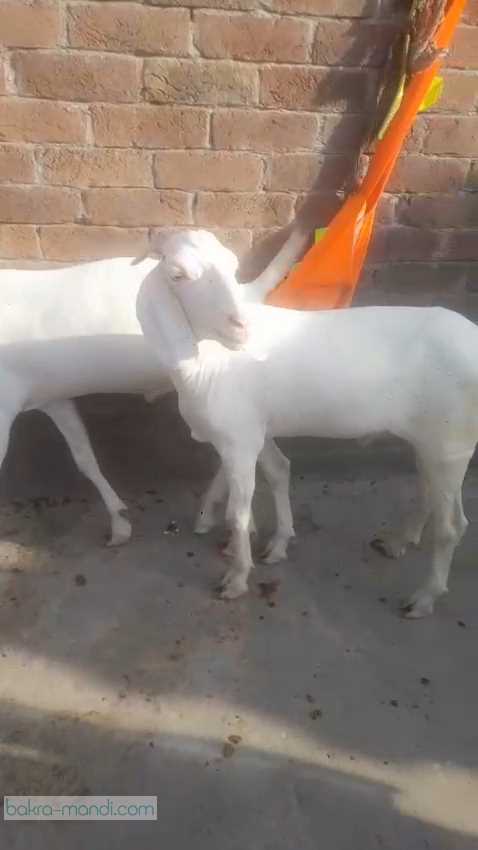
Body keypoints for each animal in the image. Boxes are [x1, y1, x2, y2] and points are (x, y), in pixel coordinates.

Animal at [0, 227, 307, 545]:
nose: (241, 325)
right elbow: (84, 457)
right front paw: (119, 521)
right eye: (177, 274)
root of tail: (251, 294)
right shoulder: (52, 397)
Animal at [138, 229, 478, 618]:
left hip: (452, 443)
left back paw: (424, 598)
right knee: (428, 492)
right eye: (176, 275)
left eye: (233, 266)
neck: (209, 361)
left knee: (452, 526)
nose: (242, 327)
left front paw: (236, 579)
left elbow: (237, 515)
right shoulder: (256, 430)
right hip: (429, 440)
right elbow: (279, 471)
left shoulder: (238, 442)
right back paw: (397, 542)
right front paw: (278, 544)